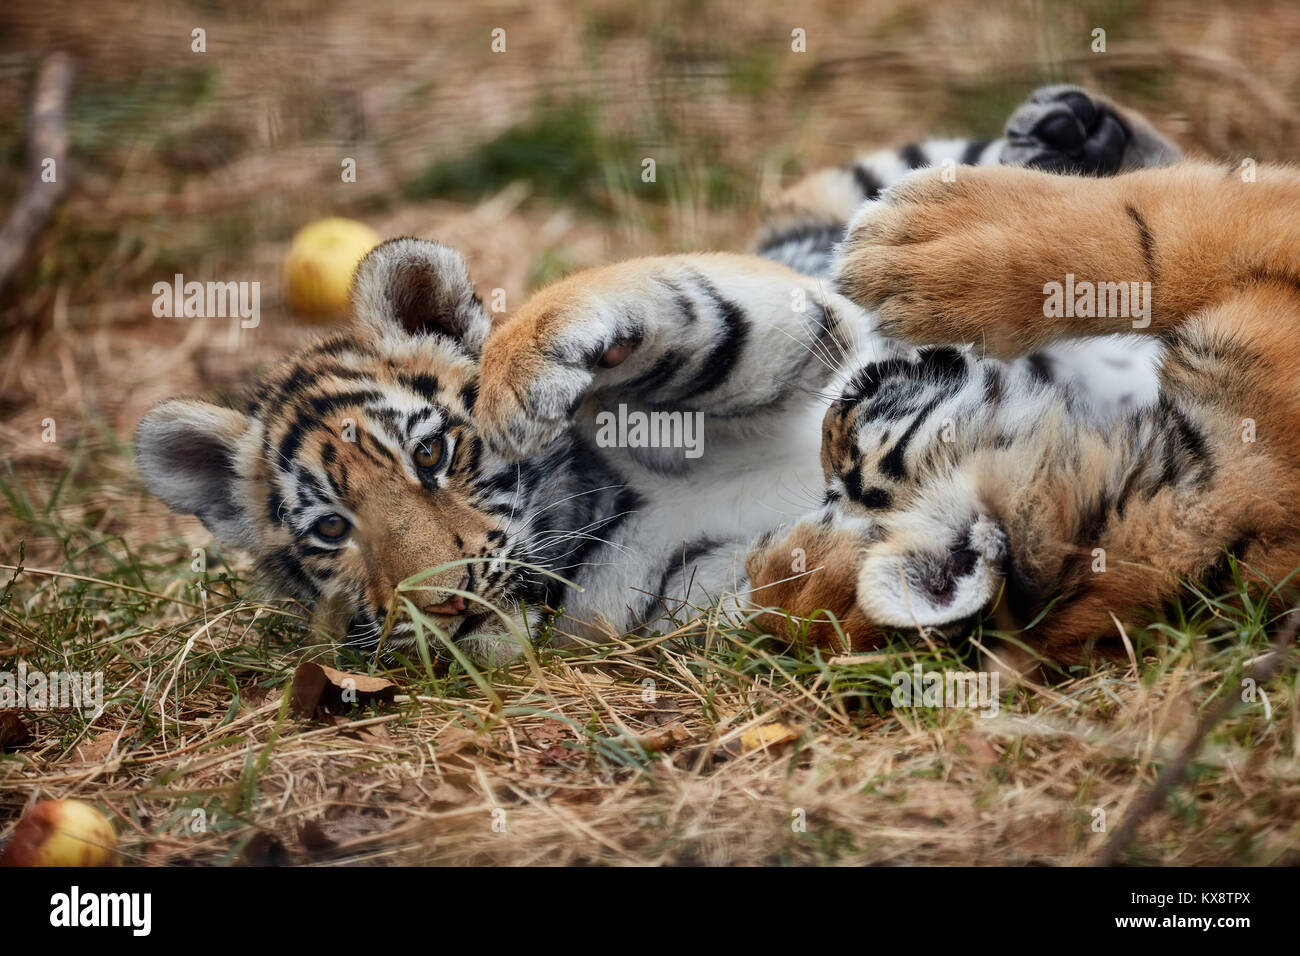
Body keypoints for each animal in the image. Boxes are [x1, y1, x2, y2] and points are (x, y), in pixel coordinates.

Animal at [134, 85, 1182, 665]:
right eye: (329, 530)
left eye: (433, 455)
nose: (440, 600)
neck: (591, 507)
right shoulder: (673, 596)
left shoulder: (800, 331)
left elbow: (684, 311)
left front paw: (525, 370)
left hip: (883, 191)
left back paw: (1070, 129)